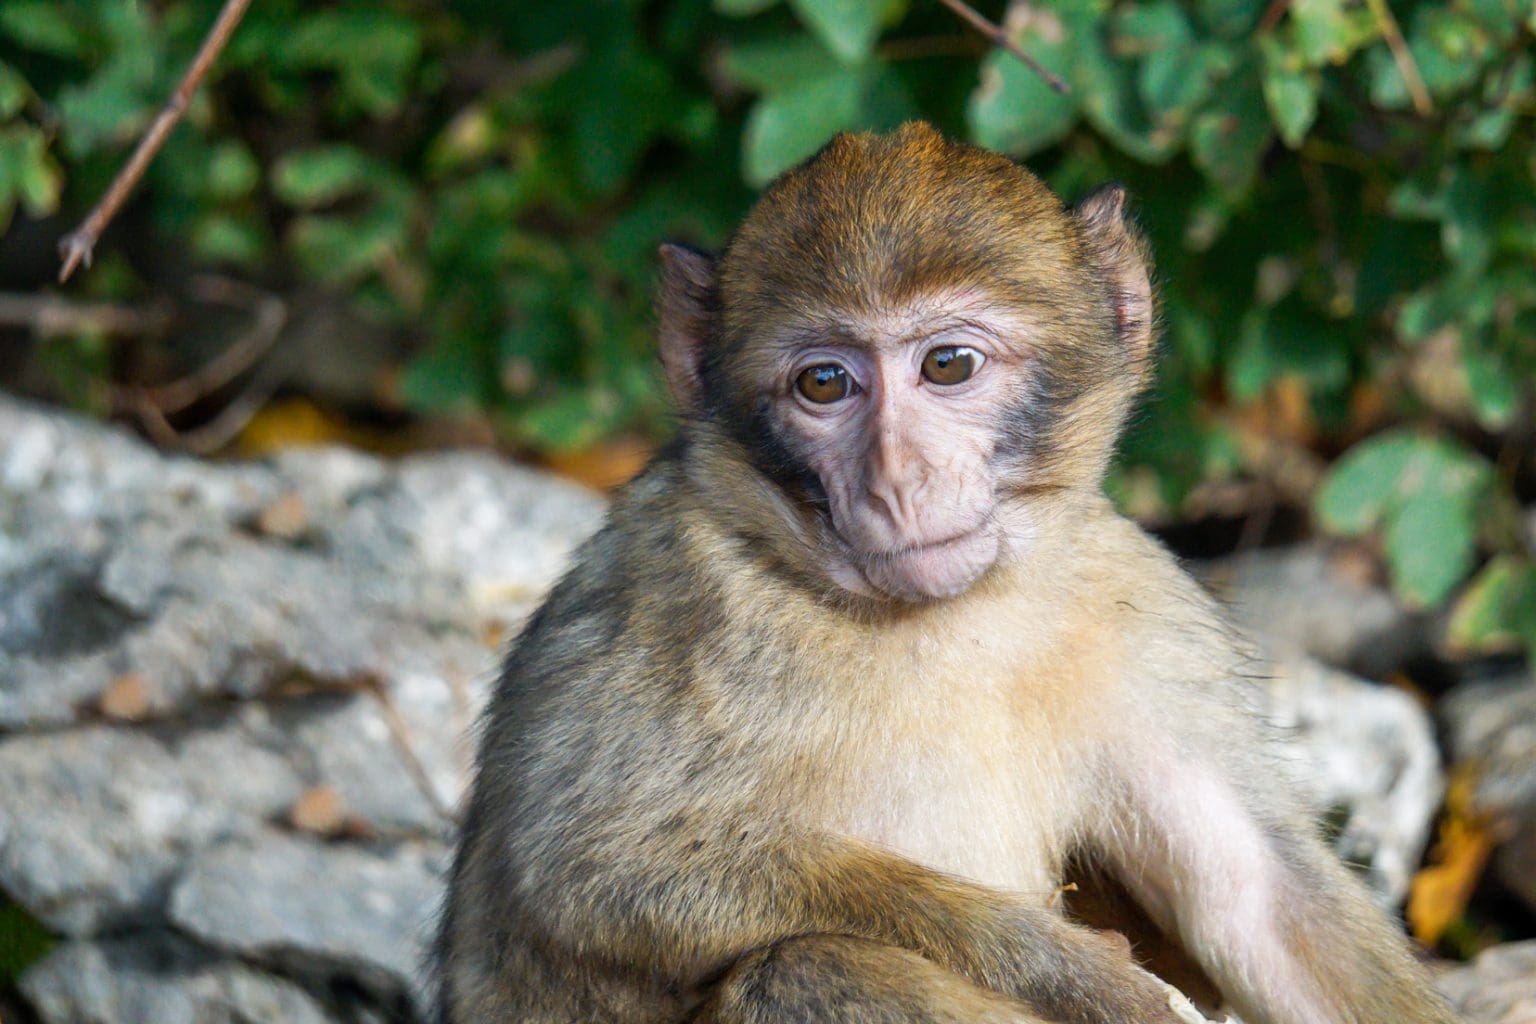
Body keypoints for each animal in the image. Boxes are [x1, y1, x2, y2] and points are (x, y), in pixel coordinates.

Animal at [435, 122, 1458, 1024]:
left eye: (949, 364)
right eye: (823, 384)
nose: (898, 479)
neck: (948, 615)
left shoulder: (1137, 605)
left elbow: (1255, 896)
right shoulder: (683, 601)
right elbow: (597, 872)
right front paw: (1073, 973)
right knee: (810, 968)